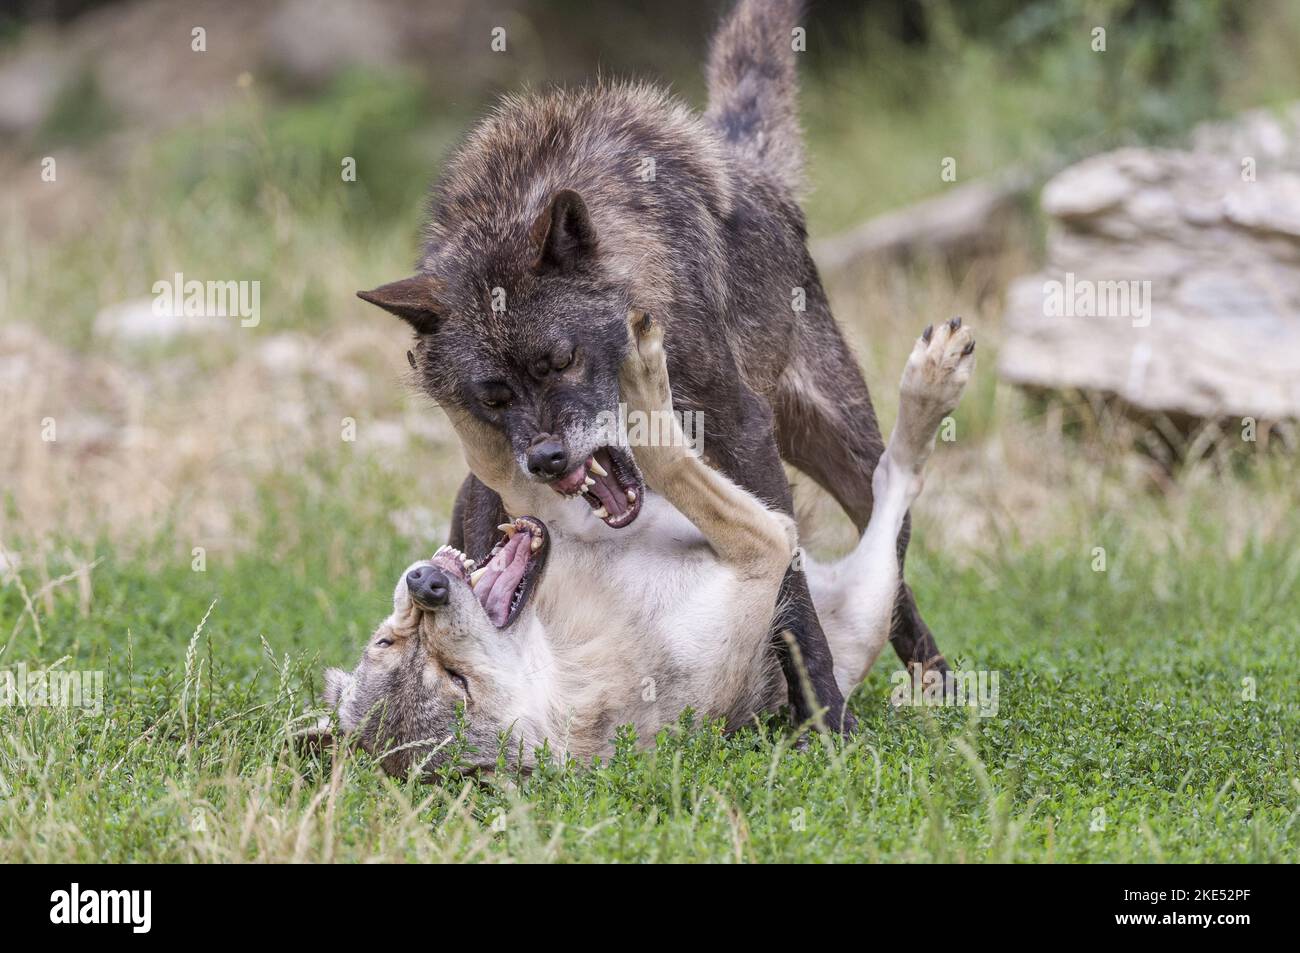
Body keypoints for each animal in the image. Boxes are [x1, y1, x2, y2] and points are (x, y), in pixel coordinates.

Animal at [317, 313, 974, 774]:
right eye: (456, 681)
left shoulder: (557, 506)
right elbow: (669, 457)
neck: (570, 656)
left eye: (386, 641)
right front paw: (641, 381)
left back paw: (933, 376)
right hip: (867, 601)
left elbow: (505, 462)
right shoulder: (761, 548)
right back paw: (931, 389)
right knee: (895, 489)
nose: (424, 585)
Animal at [357, 0, 950, 731]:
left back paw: (940, 688)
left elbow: (794, 600)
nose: (547, 460)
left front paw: (827, 721)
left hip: (850, 463)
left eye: (562, 360)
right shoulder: (495, 481)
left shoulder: (743, 435)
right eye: (493, 397)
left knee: (894, 565)